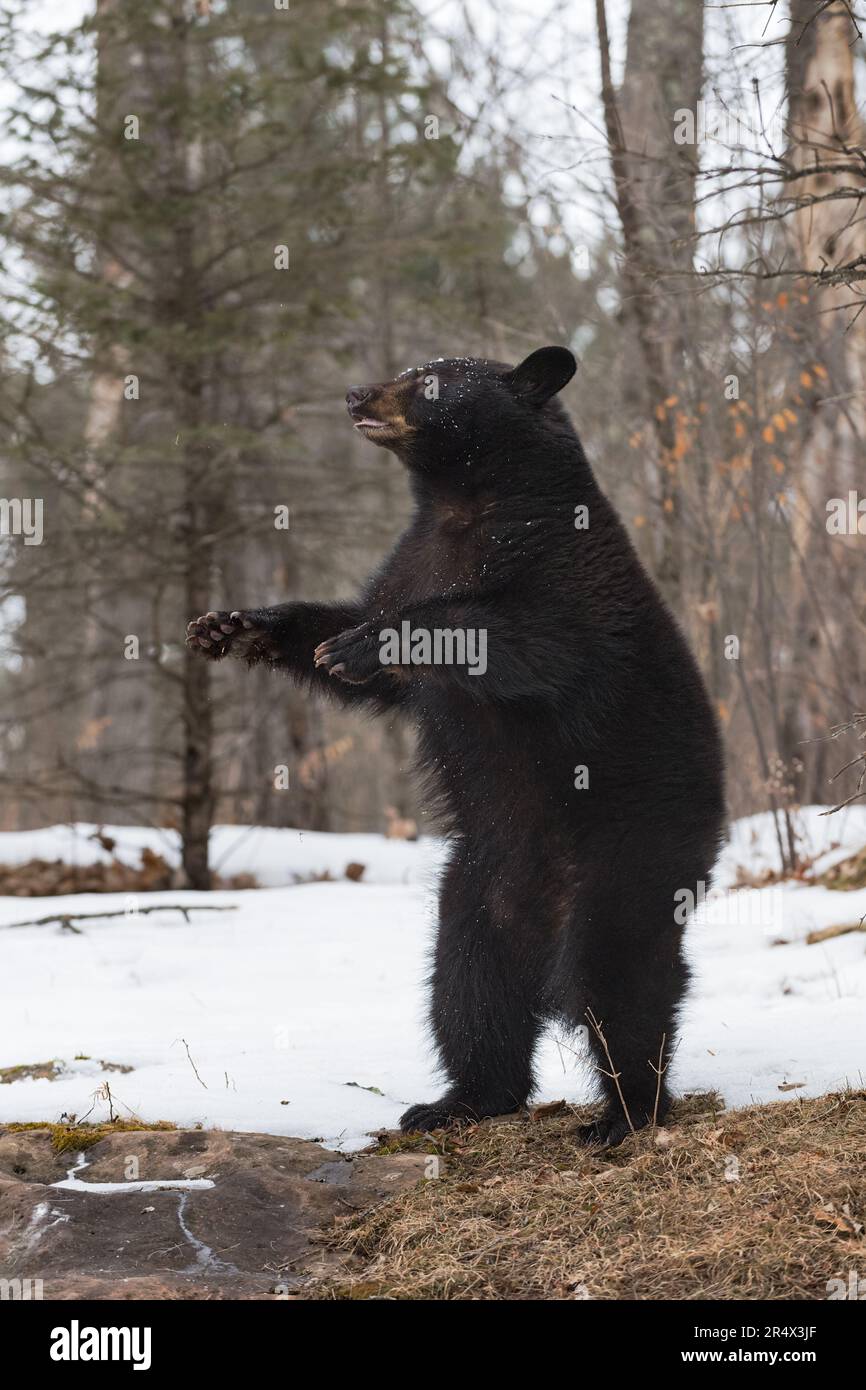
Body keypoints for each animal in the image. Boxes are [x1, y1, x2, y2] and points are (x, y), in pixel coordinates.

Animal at [187, 347, 726, 1147]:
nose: (355, 393)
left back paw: (624, 1113)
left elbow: (516, 638)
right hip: (479, 887)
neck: (464, 503)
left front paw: (372, 643)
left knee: (621, 980)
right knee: (470, 989)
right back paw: (460, 1099)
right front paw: (235, 627)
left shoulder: (565, 580)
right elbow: (345, 633)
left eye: (431, 381)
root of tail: (549, 907)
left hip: (634, 857)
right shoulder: (410, 561)